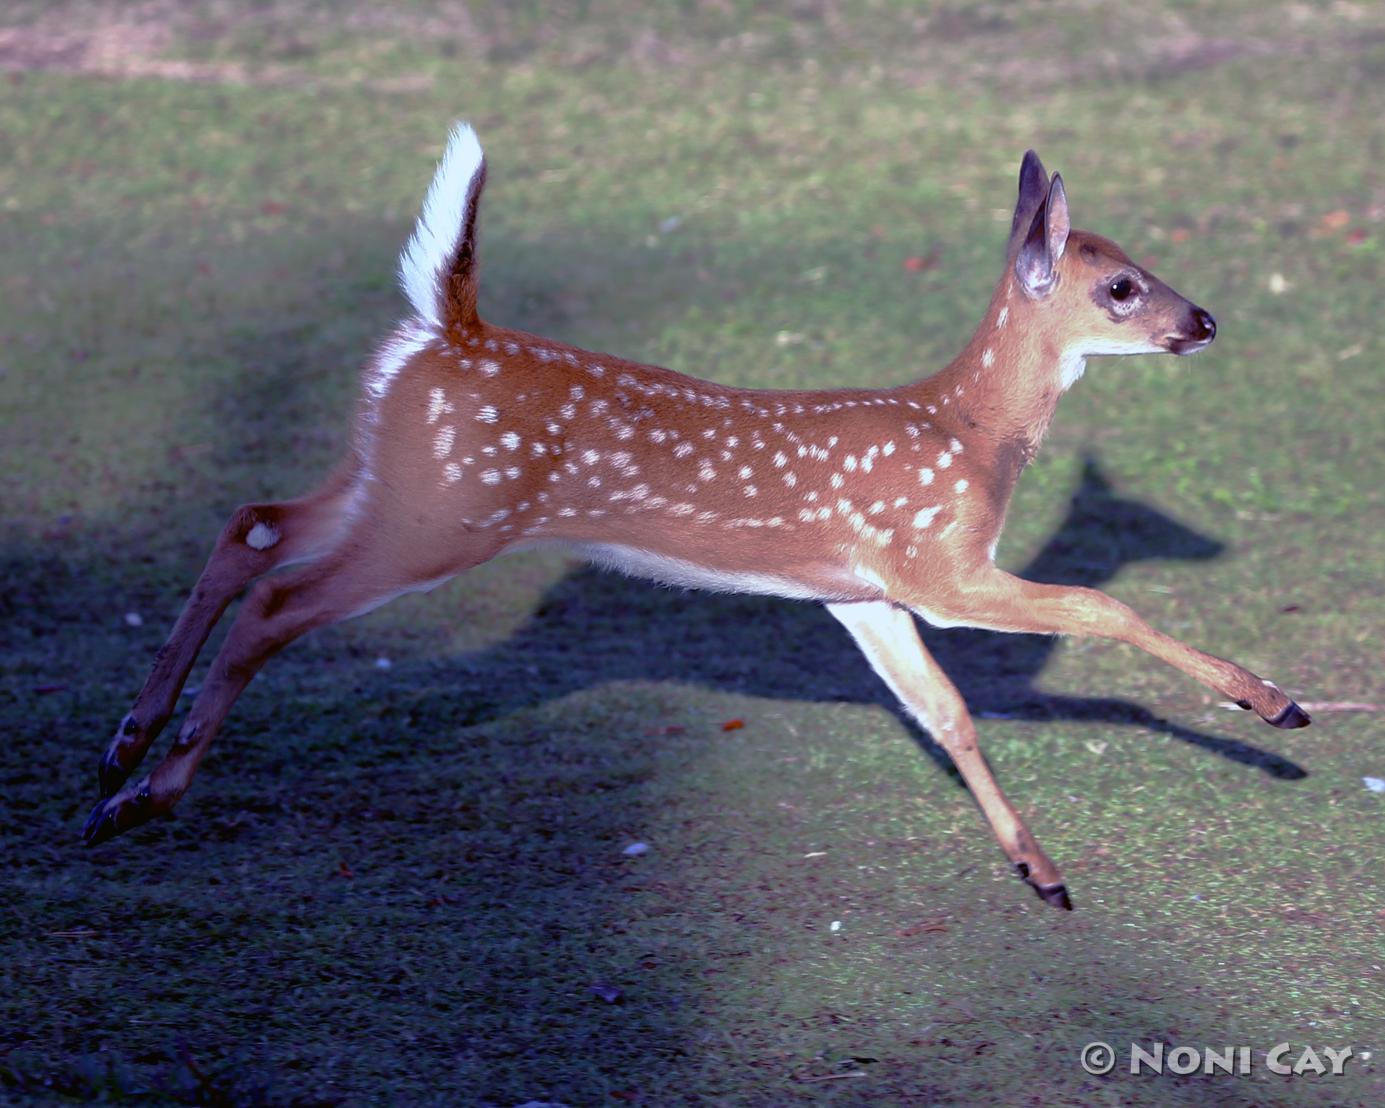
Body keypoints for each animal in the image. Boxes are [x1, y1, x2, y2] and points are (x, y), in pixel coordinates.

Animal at [83, 123, 1311, 911]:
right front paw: (1274, 705)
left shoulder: (858, 592)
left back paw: (124, 750)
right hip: (440, 514)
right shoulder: (932, 564)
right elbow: (1098, 607)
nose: (1203, 320)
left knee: (251, 521)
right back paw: (149, 792)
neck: (969, 438)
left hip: (386, 475)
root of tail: (446, 326)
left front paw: (1040, 873)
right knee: (277, 597)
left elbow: (945, 714)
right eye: (1120, 286)